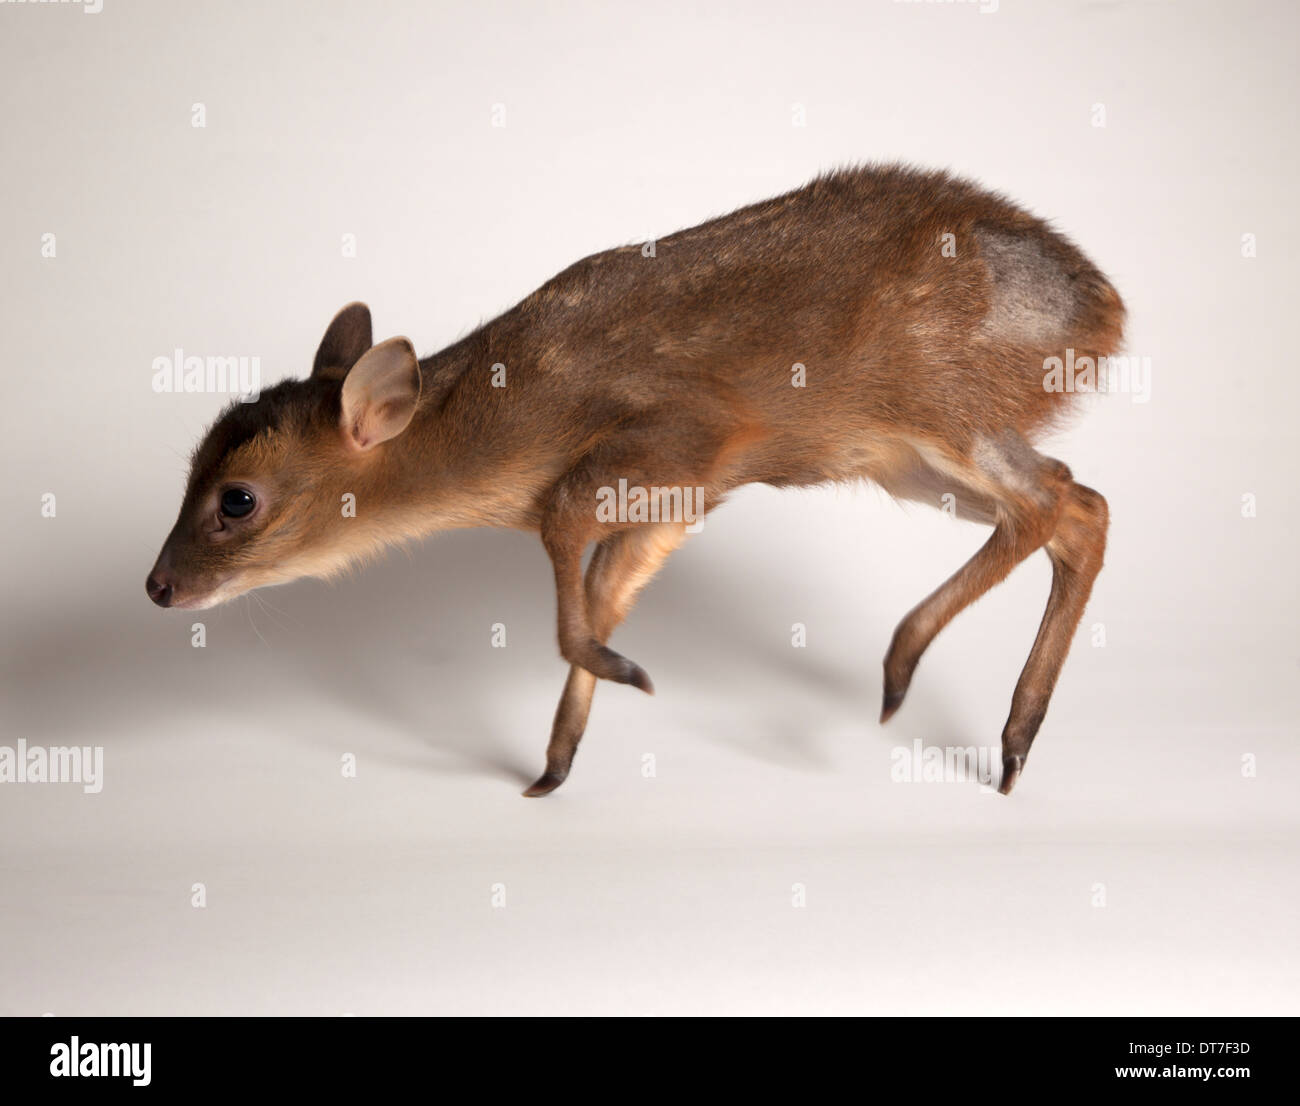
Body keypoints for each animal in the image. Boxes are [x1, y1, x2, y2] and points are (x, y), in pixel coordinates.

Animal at [146, 164, 1124, 798]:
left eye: (238, 499)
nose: (157, 586)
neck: (503, 431)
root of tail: (1105, 314)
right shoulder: (682, 496)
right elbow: (607, 586)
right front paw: (556, 762)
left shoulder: (682, 438)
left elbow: (569, 548)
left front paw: (614, 677)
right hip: (905, 457)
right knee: (1083, 503)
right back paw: (1012, 746)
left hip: (940, 403)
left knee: (1051, 503)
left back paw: (904, 666)